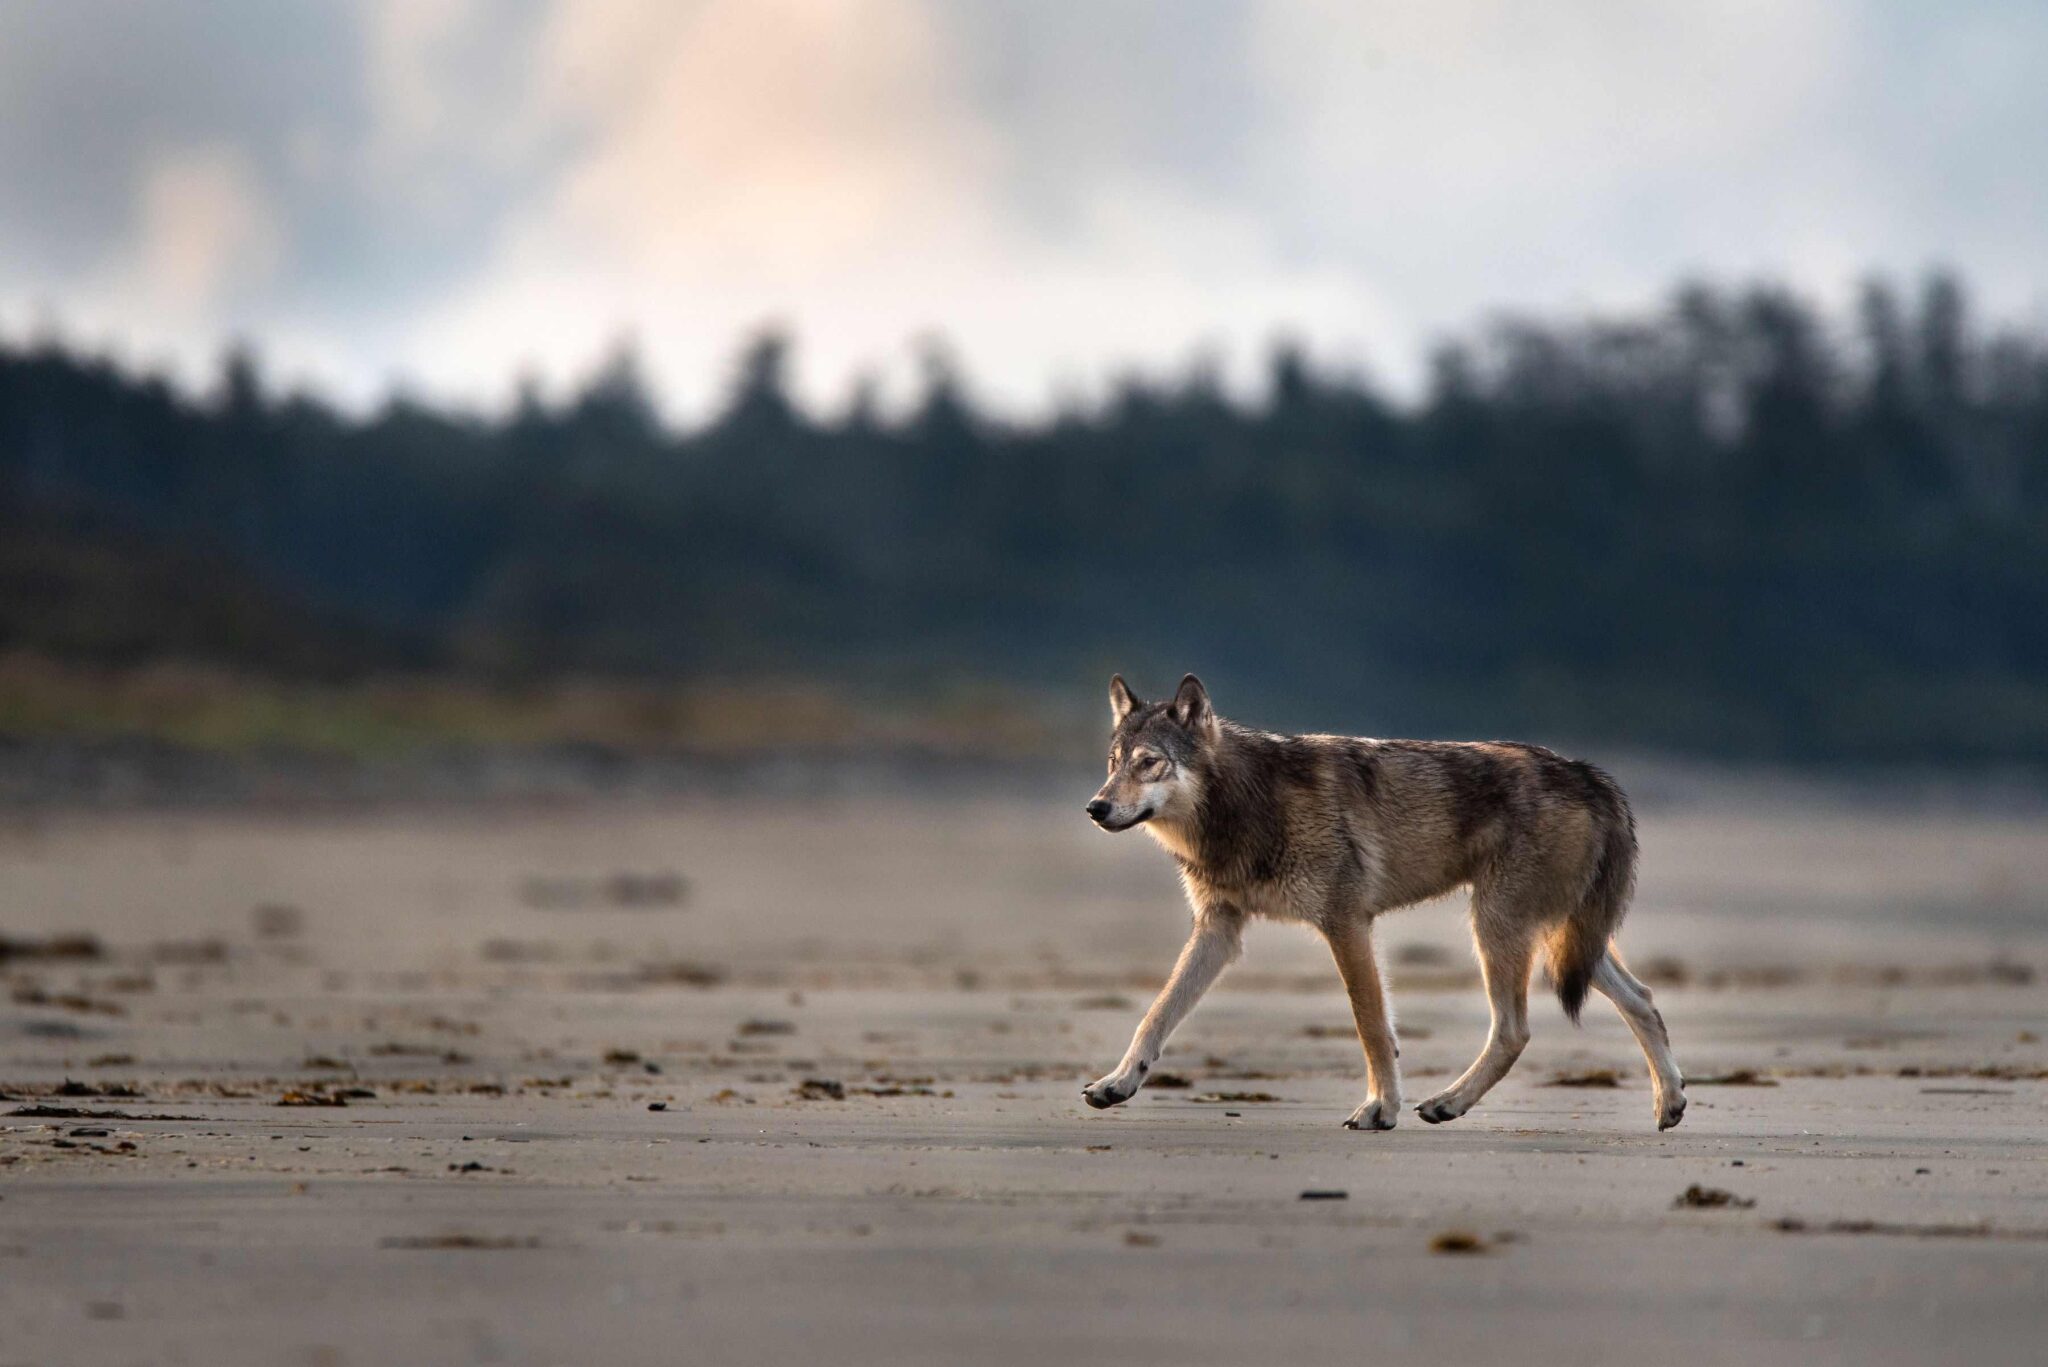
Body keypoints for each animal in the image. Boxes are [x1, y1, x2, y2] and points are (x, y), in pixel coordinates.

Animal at [1081, 673, 1684, 1131]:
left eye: (1149, 762)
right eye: (1113, 763)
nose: (1095, 808)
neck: (1246, 805)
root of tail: (1594, 776)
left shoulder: (1346, 923)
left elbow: (1371, 1026)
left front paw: (1379, 1109)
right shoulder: (1219, 931)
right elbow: (1156, 1015)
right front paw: (1117, 1083)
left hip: (1500, 928)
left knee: (1515, 1031)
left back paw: (1447, 1103)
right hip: (1568, 942)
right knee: (1644, 999)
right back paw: (1670, 1102)